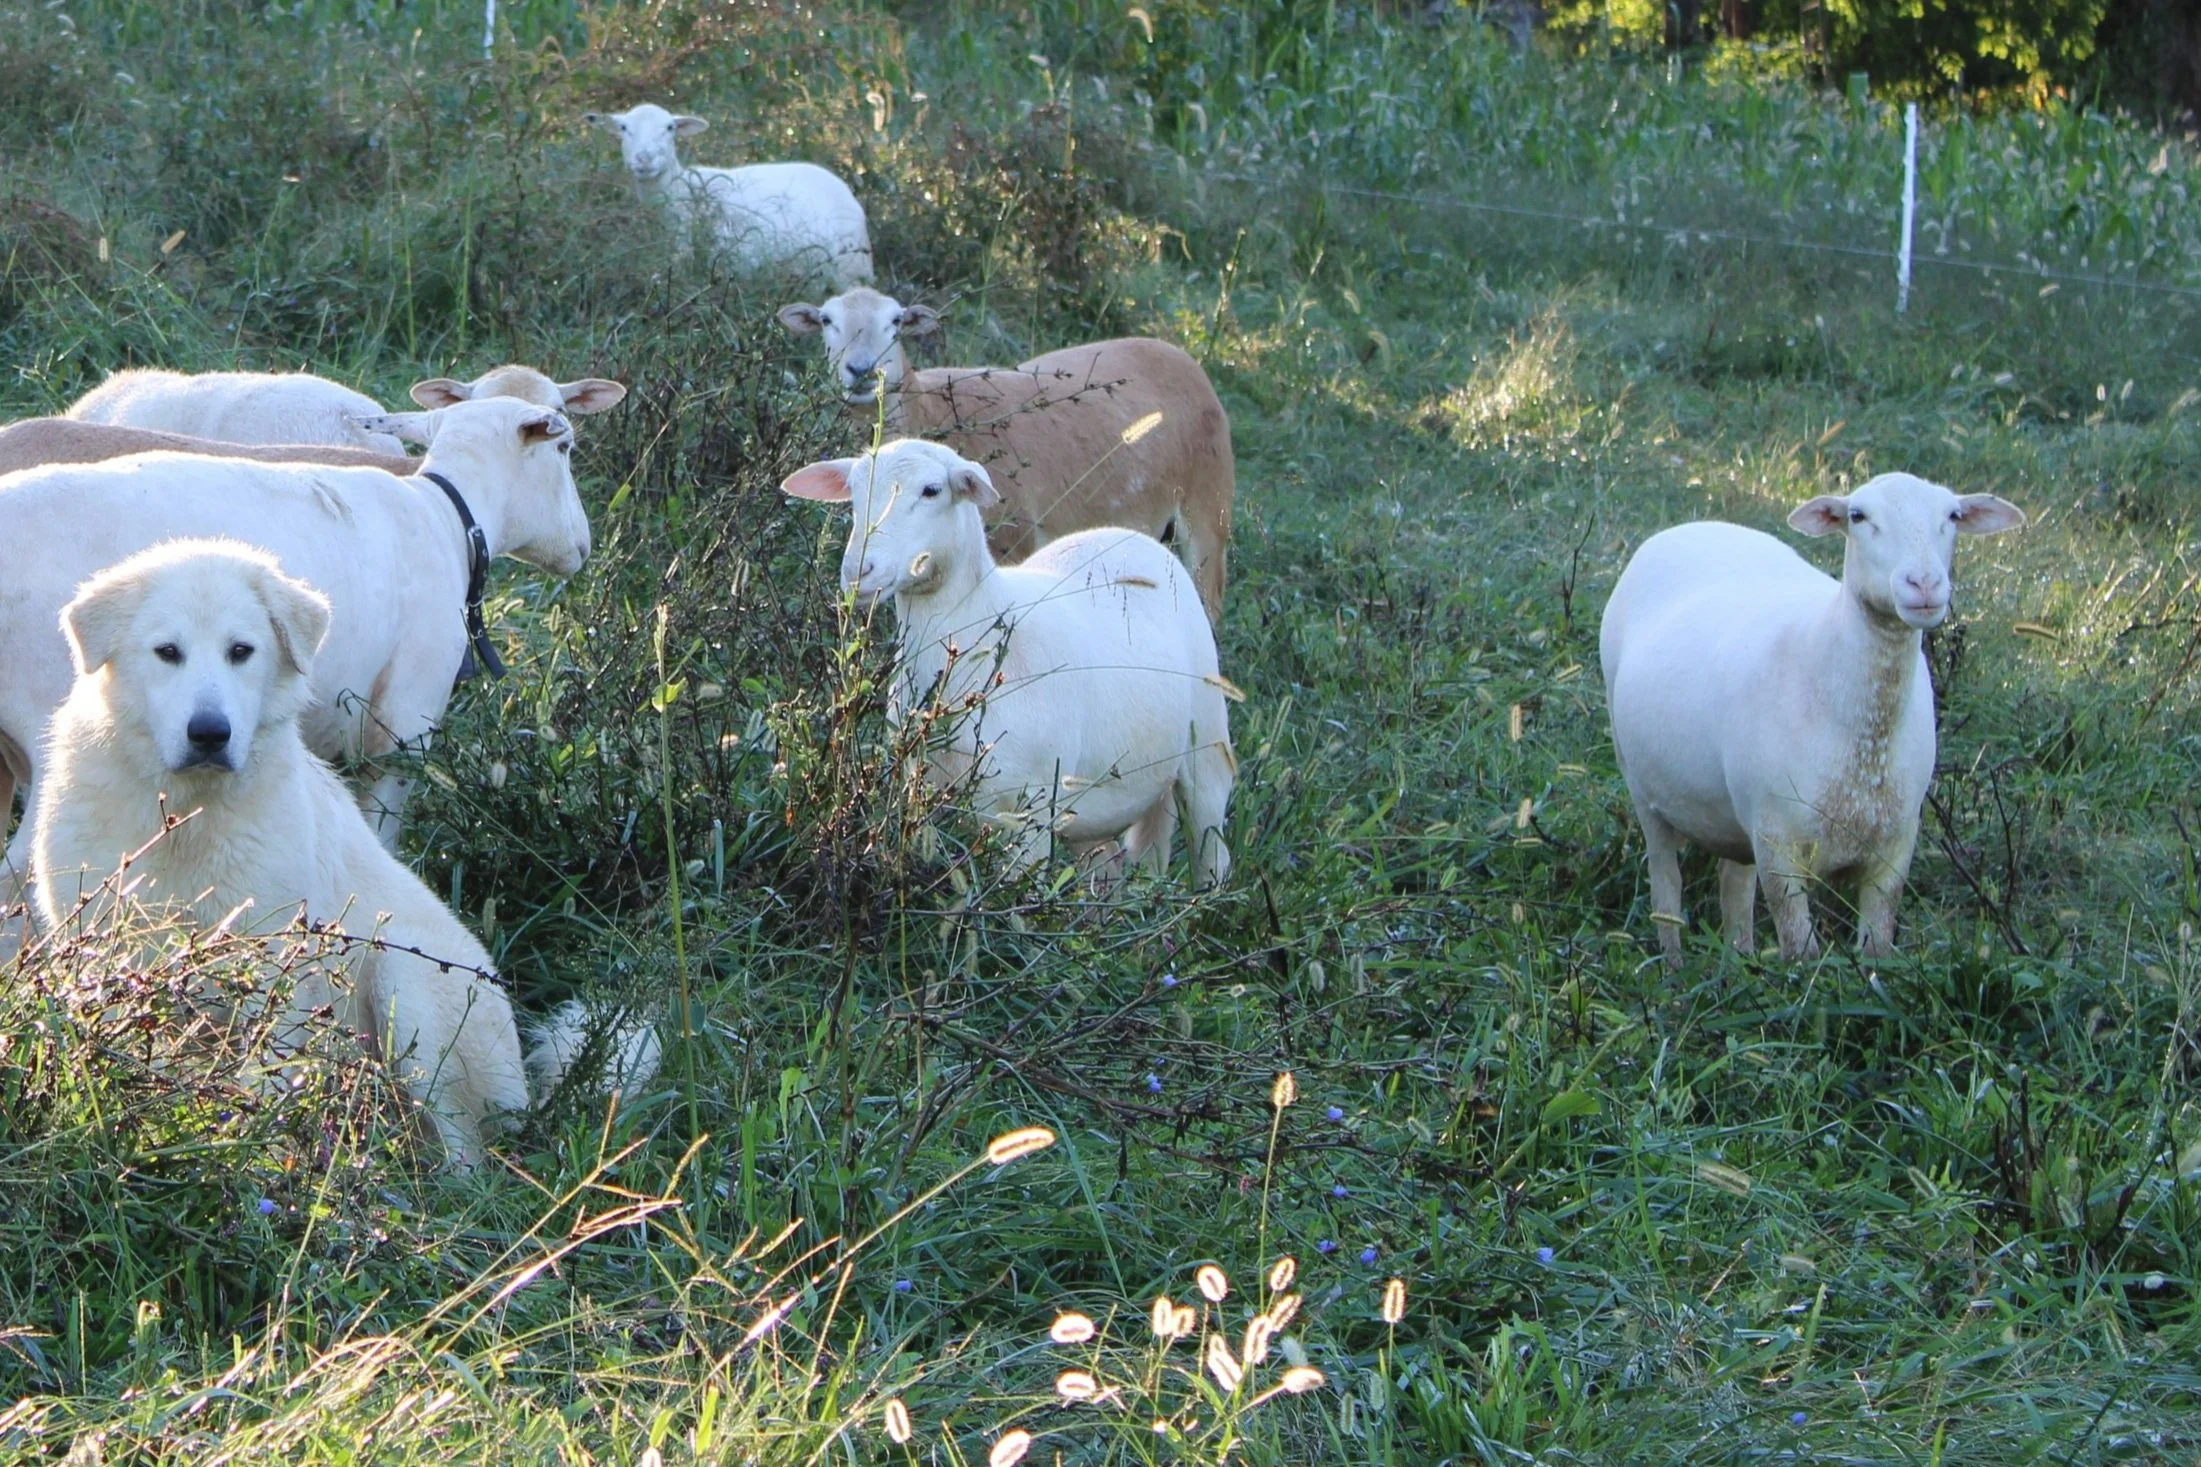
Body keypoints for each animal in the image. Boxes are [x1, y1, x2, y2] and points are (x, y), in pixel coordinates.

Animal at [0, 397, 592, 889]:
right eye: (563, 449)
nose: (583, 546)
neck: (450, 519)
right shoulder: (403, 725)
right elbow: (380, 838)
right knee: (25, 863)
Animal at [778, 287, 1234, 623]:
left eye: (896, 322)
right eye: (826, 321)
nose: (861, 371)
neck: (929, 407)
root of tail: (1182, 355)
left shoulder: (1016, 542)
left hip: (1209, 508)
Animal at [781, 438, 1234, 884]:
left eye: (932, 490)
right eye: (855, 493)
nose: (859, 569)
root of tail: (1129, 537)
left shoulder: (1030, 808)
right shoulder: (918, 795)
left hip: (1207, 750)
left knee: (1211, 852)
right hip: (1097, 804)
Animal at [1599, 472, 2025, 965]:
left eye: (1953, 516)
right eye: (1858, 516)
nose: (1924, 583)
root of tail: (1694, 525)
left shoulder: (1896, 845)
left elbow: (1877, 945)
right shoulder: (1777, 843)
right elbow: (1798, 949)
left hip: (1733, 818)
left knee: (1734, 888)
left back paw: (1739, 961)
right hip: (1642, 787)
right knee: (1666, 888)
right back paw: (1672, 967)